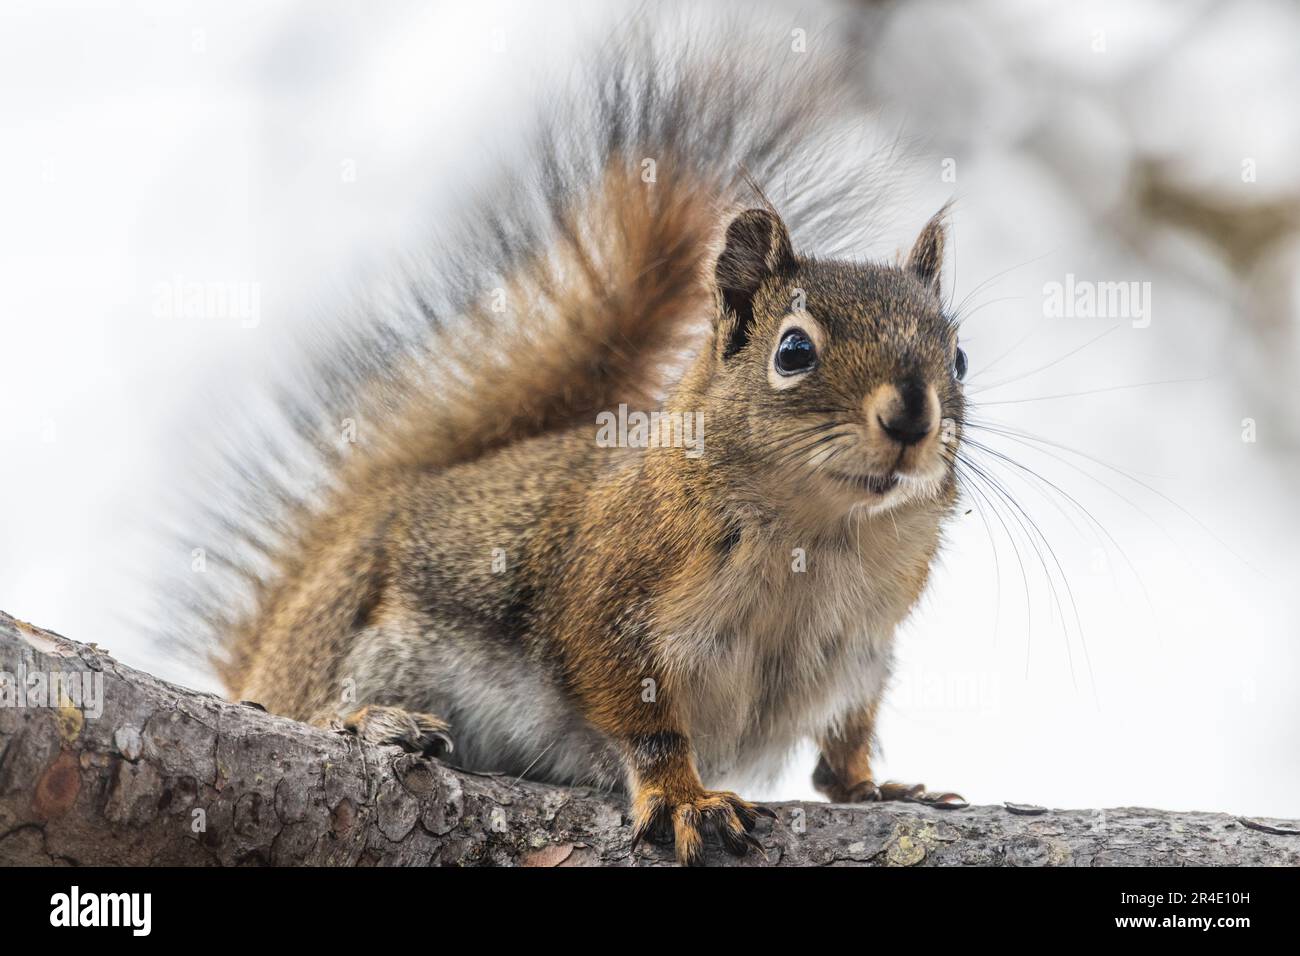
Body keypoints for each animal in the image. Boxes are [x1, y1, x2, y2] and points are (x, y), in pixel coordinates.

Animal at [180, 31, 970, 865]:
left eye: (958, 357)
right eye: (793, 351)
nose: (911, 417)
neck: (816, 535)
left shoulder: (865, 647)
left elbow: (847, 739)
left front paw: (876, 788)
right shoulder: (604, 599)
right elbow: (644, 718)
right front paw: (683, 796)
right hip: (348, 624)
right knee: (307, 703)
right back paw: (373, 720)